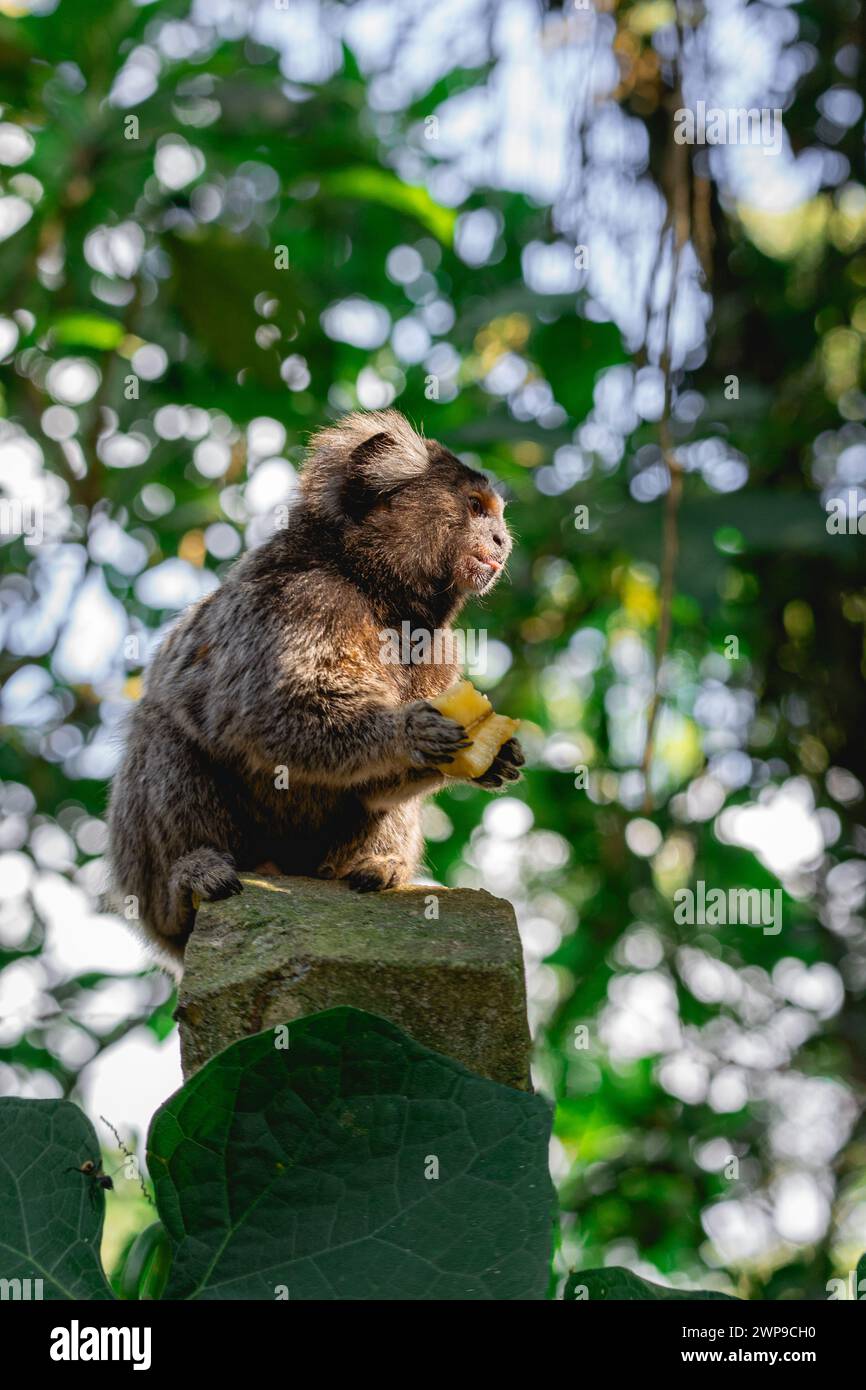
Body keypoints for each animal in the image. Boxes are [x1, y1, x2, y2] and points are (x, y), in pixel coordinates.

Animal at [106, 410, 524, 975]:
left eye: (496, 516)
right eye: (476, 508)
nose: (501, 539)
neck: (373, 589)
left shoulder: (441, 652)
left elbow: (374, 783)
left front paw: (492, 757)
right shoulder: (299, 600)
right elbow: (268, 717)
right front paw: (409, 731)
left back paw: (376, 868)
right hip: (147, 882)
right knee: (161, 729)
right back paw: (189, 879)